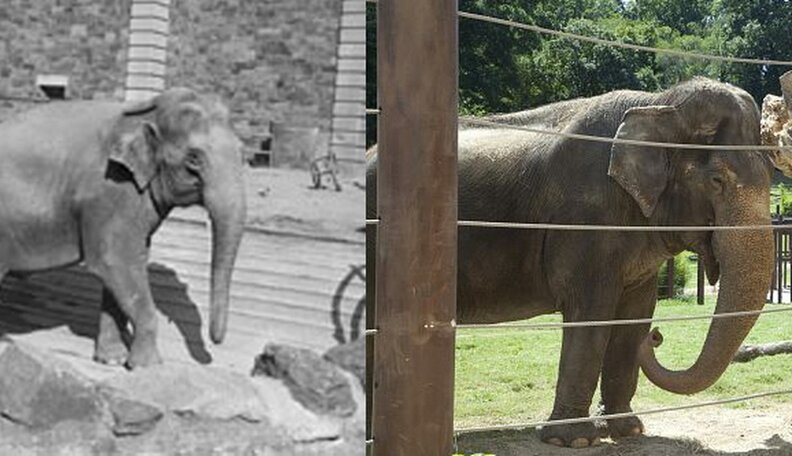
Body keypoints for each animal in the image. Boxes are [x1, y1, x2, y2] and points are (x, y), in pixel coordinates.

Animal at [0, 87, 246, 369]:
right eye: (194, 159)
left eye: (243, 152)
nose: (215, 345)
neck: (145, 111)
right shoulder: (109, 191)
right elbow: (115, 262)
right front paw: (147, 366)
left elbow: (126, 266)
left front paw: (112, 360)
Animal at [366, 77, 780, 447]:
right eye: (716, 180)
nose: (658, 337)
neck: (656, 101)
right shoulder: (584, 219)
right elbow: (592, 312)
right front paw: (575, 440)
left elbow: (634, 314)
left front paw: (628, 430)